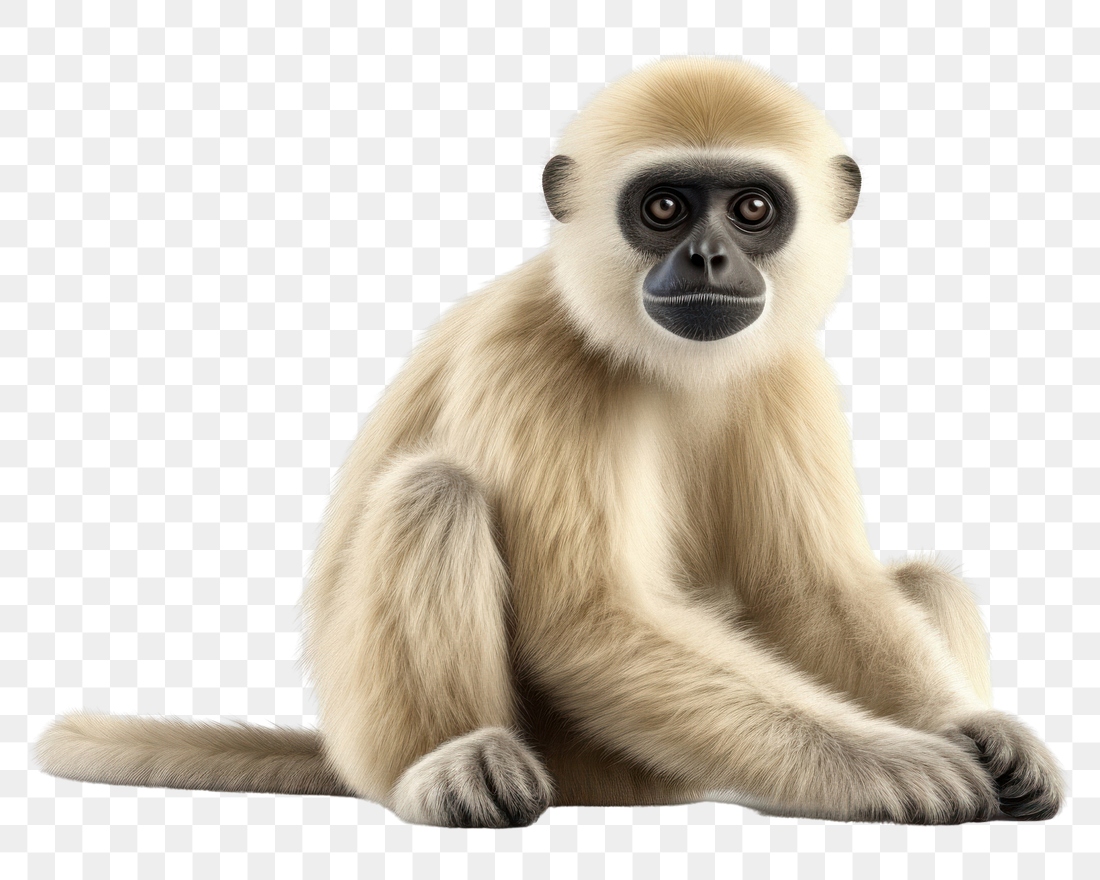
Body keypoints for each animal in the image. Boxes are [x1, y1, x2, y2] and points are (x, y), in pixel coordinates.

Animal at [36, 57, 1065, 828]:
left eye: (752, 210)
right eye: (663, 208)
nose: (707, 256)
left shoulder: (790, 369)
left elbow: (815, 591)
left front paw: (977, 729)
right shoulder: (534, 348)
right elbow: (587, 616)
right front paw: (890, 762)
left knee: (922, 581)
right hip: (526, 749)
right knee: (435, 492)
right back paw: (447, 764)